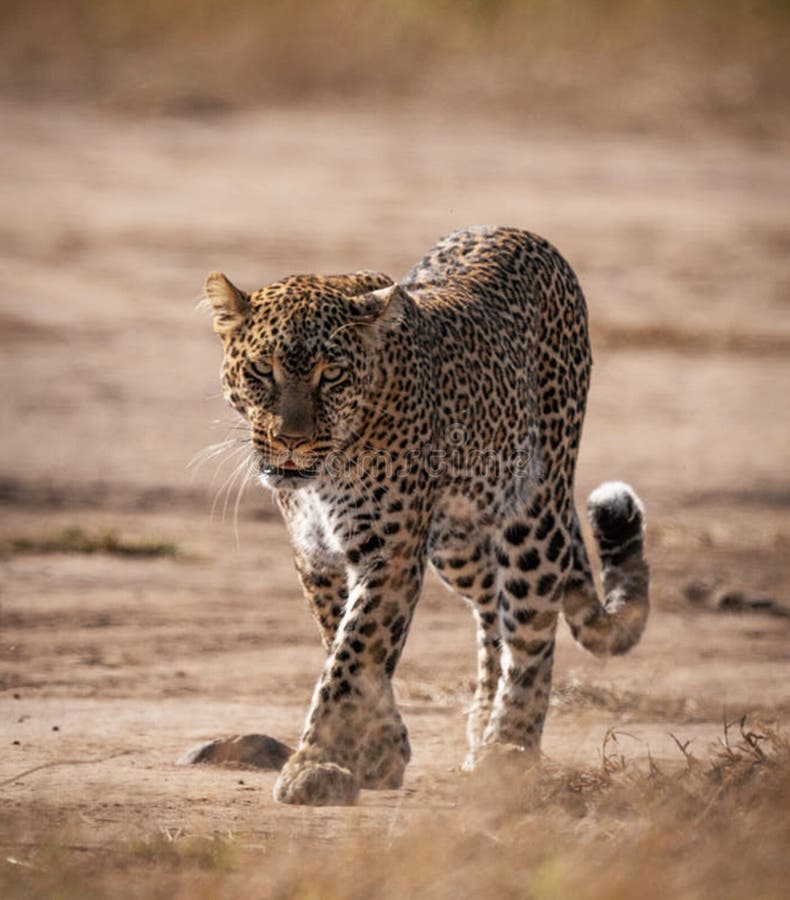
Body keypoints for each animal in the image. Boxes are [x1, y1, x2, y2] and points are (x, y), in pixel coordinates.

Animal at [201, 225, 650, 806]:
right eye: (261, 370)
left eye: (332, 375)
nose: (291, 440)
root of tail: (516, 231)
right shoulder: (317, 557)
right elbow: (343, 644)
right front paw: (380, 749)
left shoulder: (389, 552)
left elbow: (352, 658)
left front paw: (316, 763)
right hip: (457, 545)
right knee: (492, 607)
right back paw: (481, 725)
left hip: (534, 510)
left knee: (531, 624)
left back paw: (508, 749)